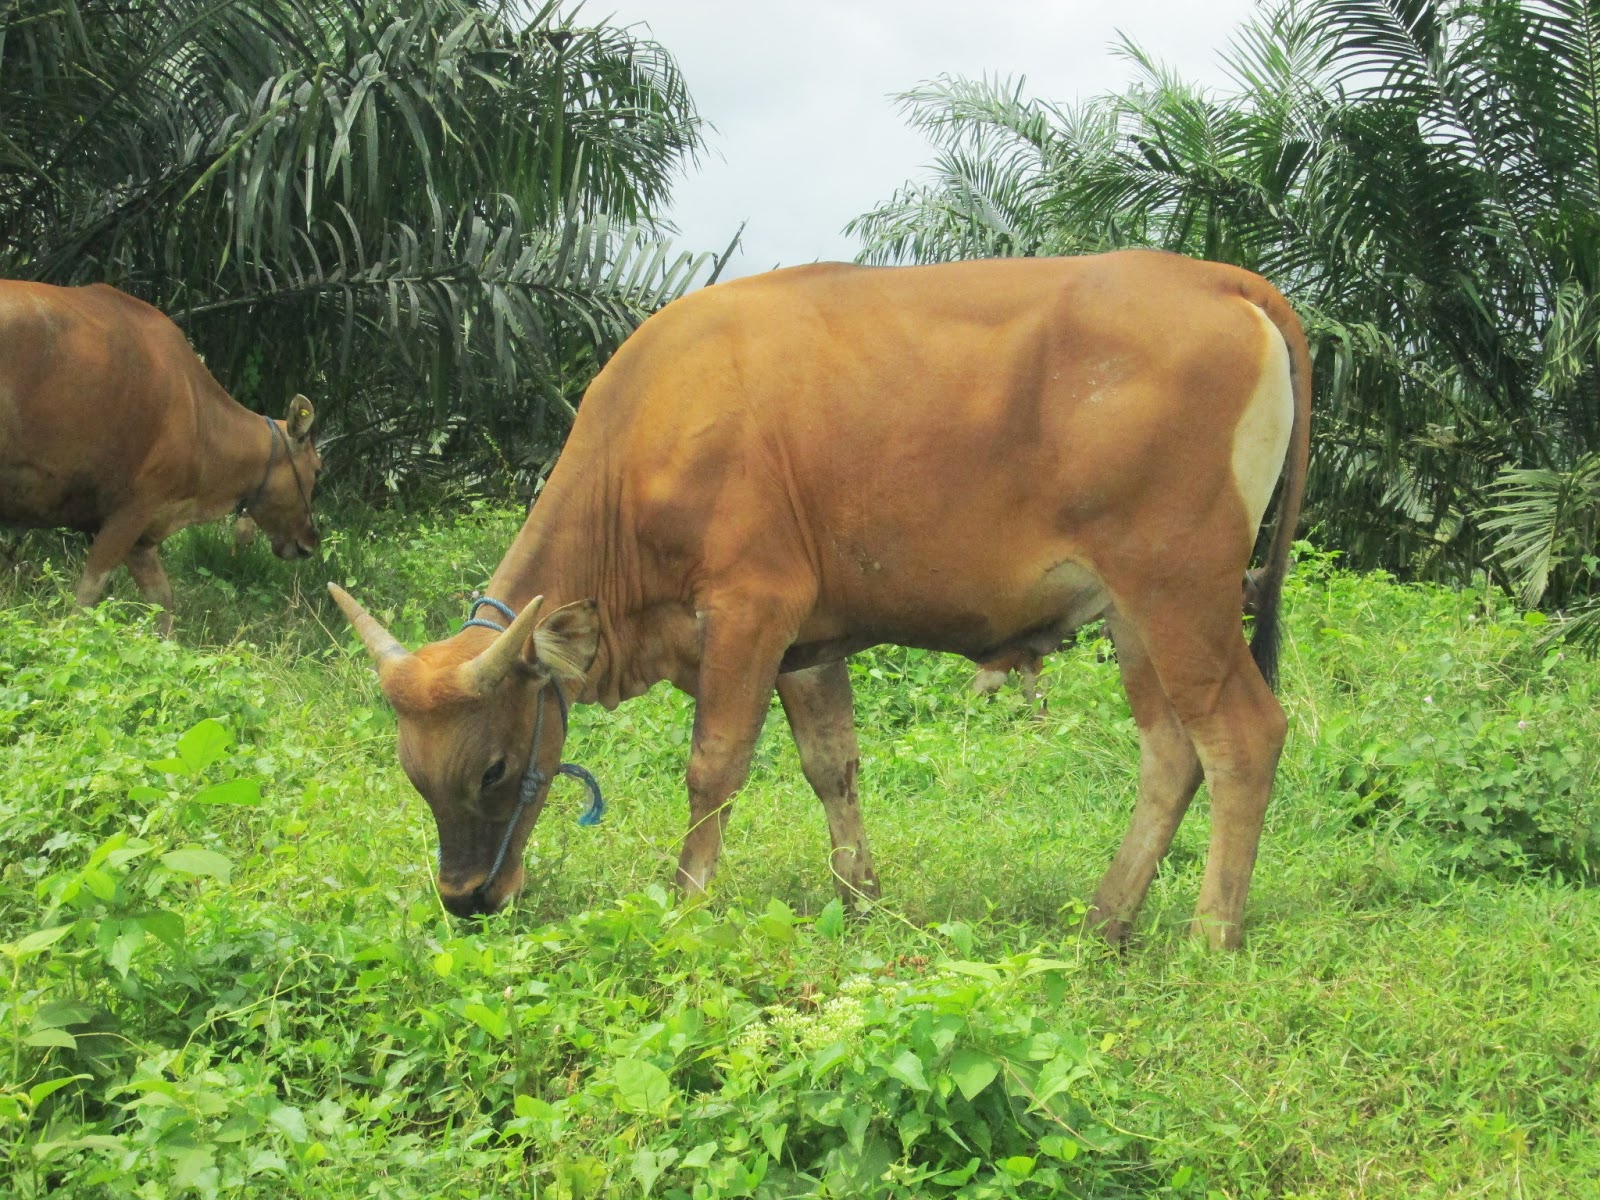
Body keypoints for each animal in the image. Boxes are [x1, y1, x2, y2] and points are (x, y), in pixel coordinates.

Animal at [0, 281, 322, 633]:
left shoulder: (143, 538)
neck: (199, 414)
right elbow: (86, 598)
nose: (310, 540)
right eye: (317, 469)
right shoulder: (131, 511)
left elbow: (162, 601)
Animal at [331, 250, 1310, 949]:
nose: (465, 899)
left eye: (493, 770)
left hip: (1181, 593)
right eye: (415, 777)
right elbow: (831, 765)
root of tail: (1218, 277)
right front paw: (860, 898)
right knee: (1171, 756)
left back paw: (1211, 935)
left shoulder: (750, 610)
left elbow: (714, 768)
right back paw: (1107, 919)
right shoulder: (807, 644)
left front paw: (686, 902)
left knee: (1242, 739)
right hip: (1133, 615)